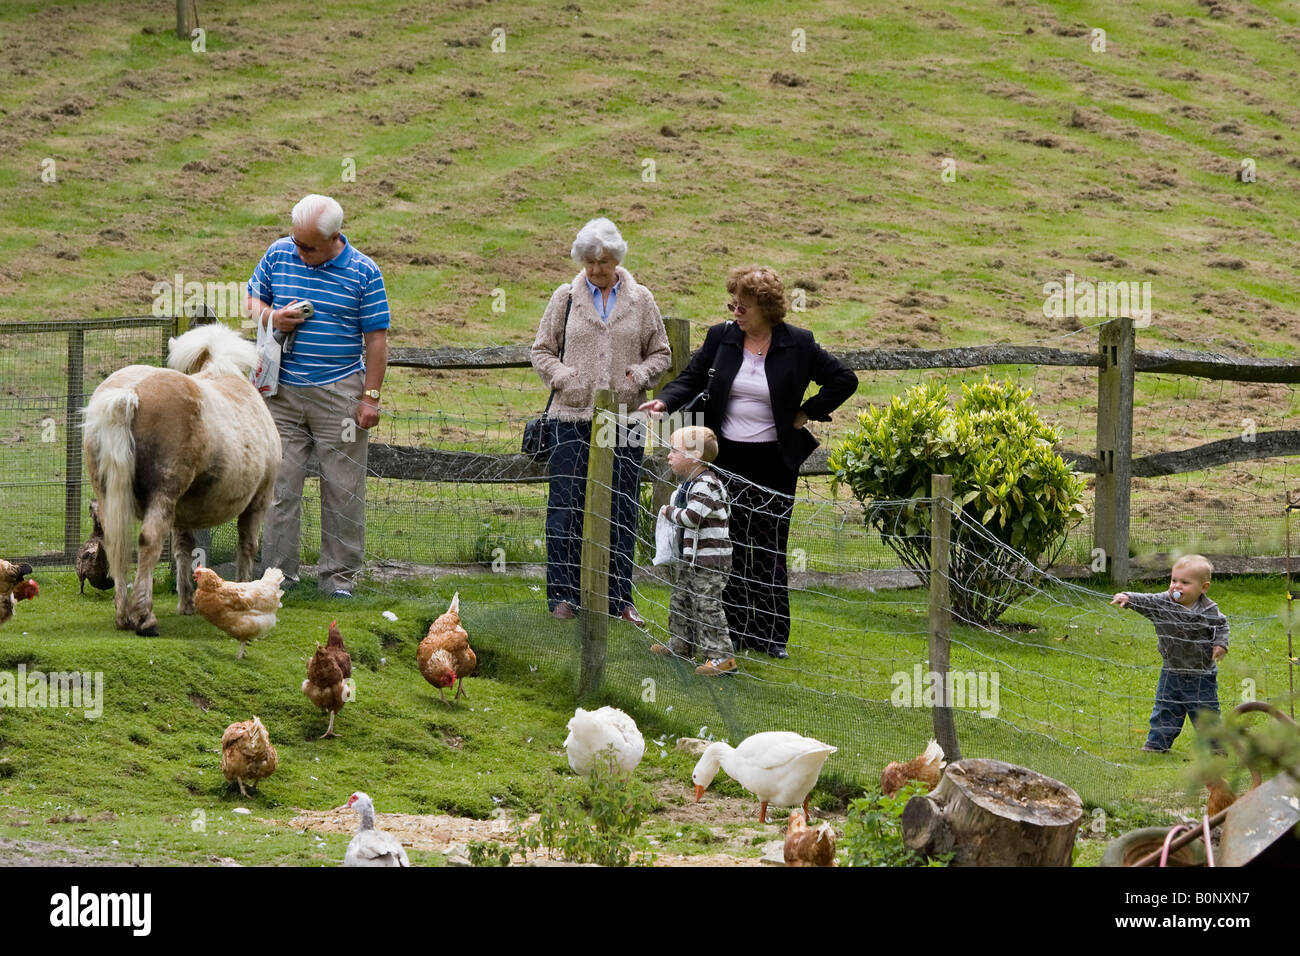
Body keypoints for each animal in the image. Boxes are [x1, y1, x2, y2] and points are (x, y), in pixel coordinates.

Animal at [82, 323, 281, 635]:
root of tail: (129, 392)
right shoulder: (259, 500)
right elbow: (247, 546)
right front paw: (243, 591)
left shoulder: (182, 513)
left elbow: (183, 549)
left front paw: (187, 601)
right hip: (163, 494)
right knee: (149, 540)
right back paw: (145, 617)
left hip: (110, 496)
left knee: (116, 544)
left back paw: (124, 615)